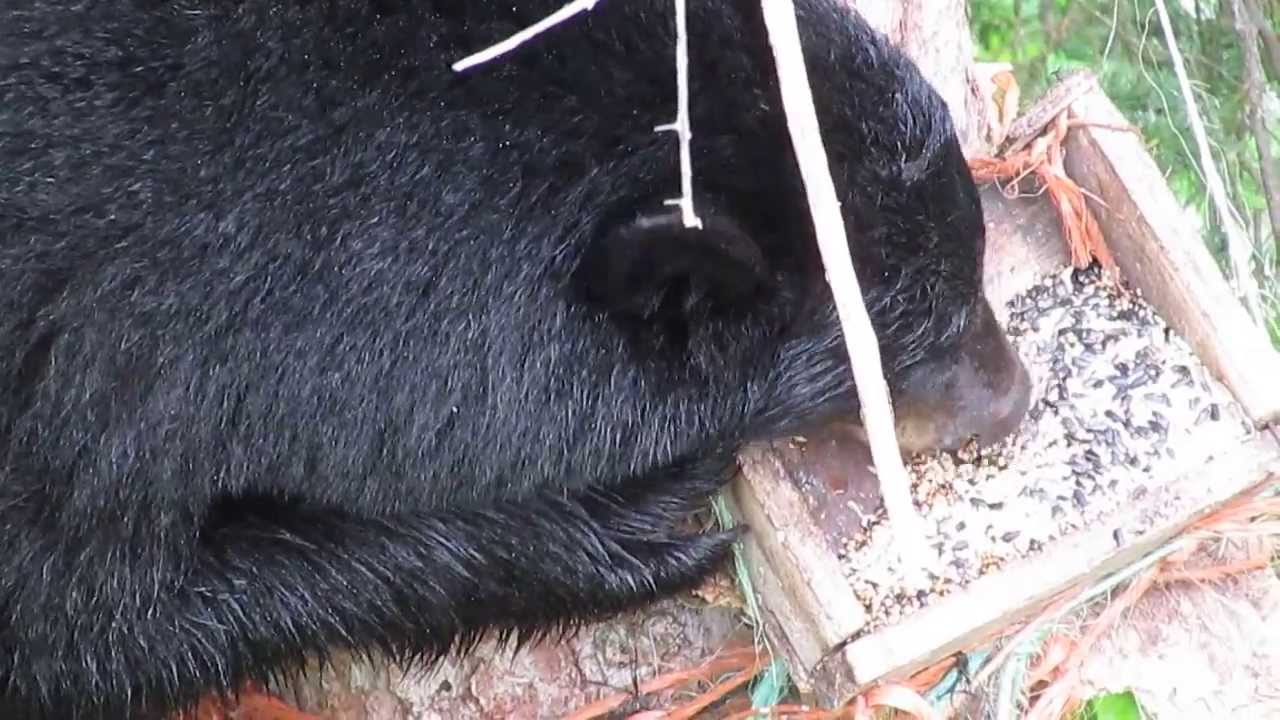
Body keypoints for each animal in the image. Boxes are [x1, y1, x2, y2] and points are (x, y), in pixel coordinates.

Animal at [0, 0, 1030, 717]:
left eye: (971, 267)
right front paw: (623, 521)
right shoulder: (87, 407)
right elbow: (99, 631)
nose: (1015, 394)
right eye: (918, 333)